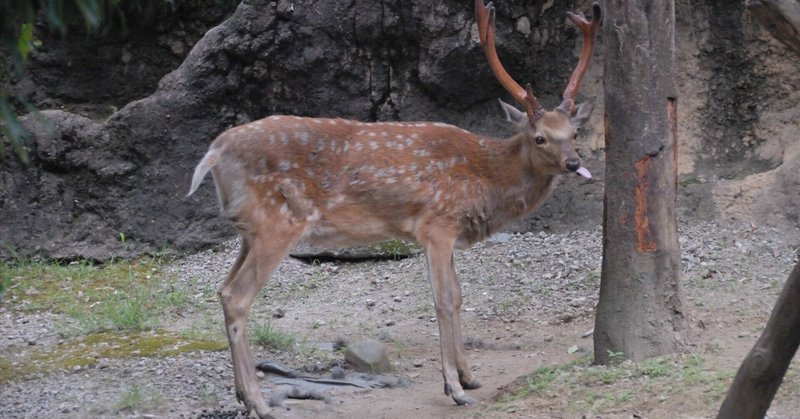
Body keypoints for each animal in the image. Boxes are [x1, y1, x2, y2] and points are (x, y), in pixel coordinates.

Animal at [187, 1, 600, 416]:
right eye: (540, 137)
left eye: (574, 133)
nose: (573, 163)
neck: (485, 177)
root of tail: (214, 151)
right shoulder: (437, 224)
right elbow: (444, 299)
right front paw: (454, 388)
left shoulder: (446, 231)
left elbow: (459, 295)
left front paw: (469, 375)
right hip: (277, 222)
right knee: (238, 296)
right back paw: (259, 402)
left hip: (248, 230)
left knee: (222, 290)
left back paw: (243, 395)